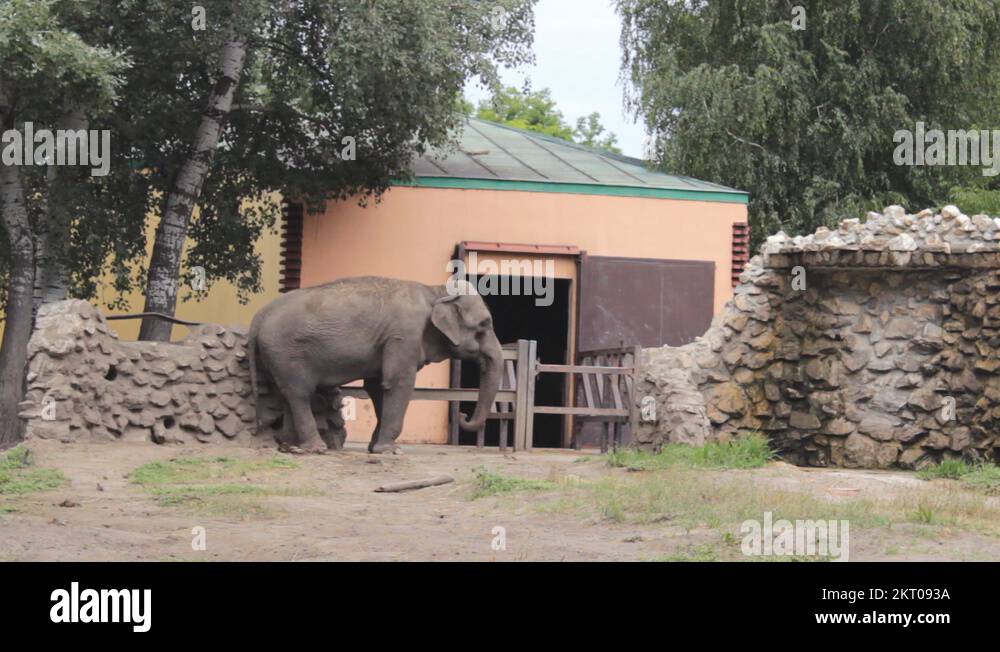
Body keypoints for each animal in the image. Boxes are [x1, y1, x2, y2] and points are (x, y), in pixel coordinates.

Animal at [248, 276, 503, 454]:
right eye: (484, 325)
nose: (462, 414)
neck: (434, 290)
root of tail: (258, 316)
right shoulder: (403, 335)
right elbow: (398, 383)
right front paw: (391, 451)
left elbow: (378, 386)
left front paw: (375, 448)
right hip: (286, 352)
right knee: (299, 394)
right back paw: (315, 448)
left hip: (277, 355)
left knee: (287, 395)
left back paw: (291, 446)